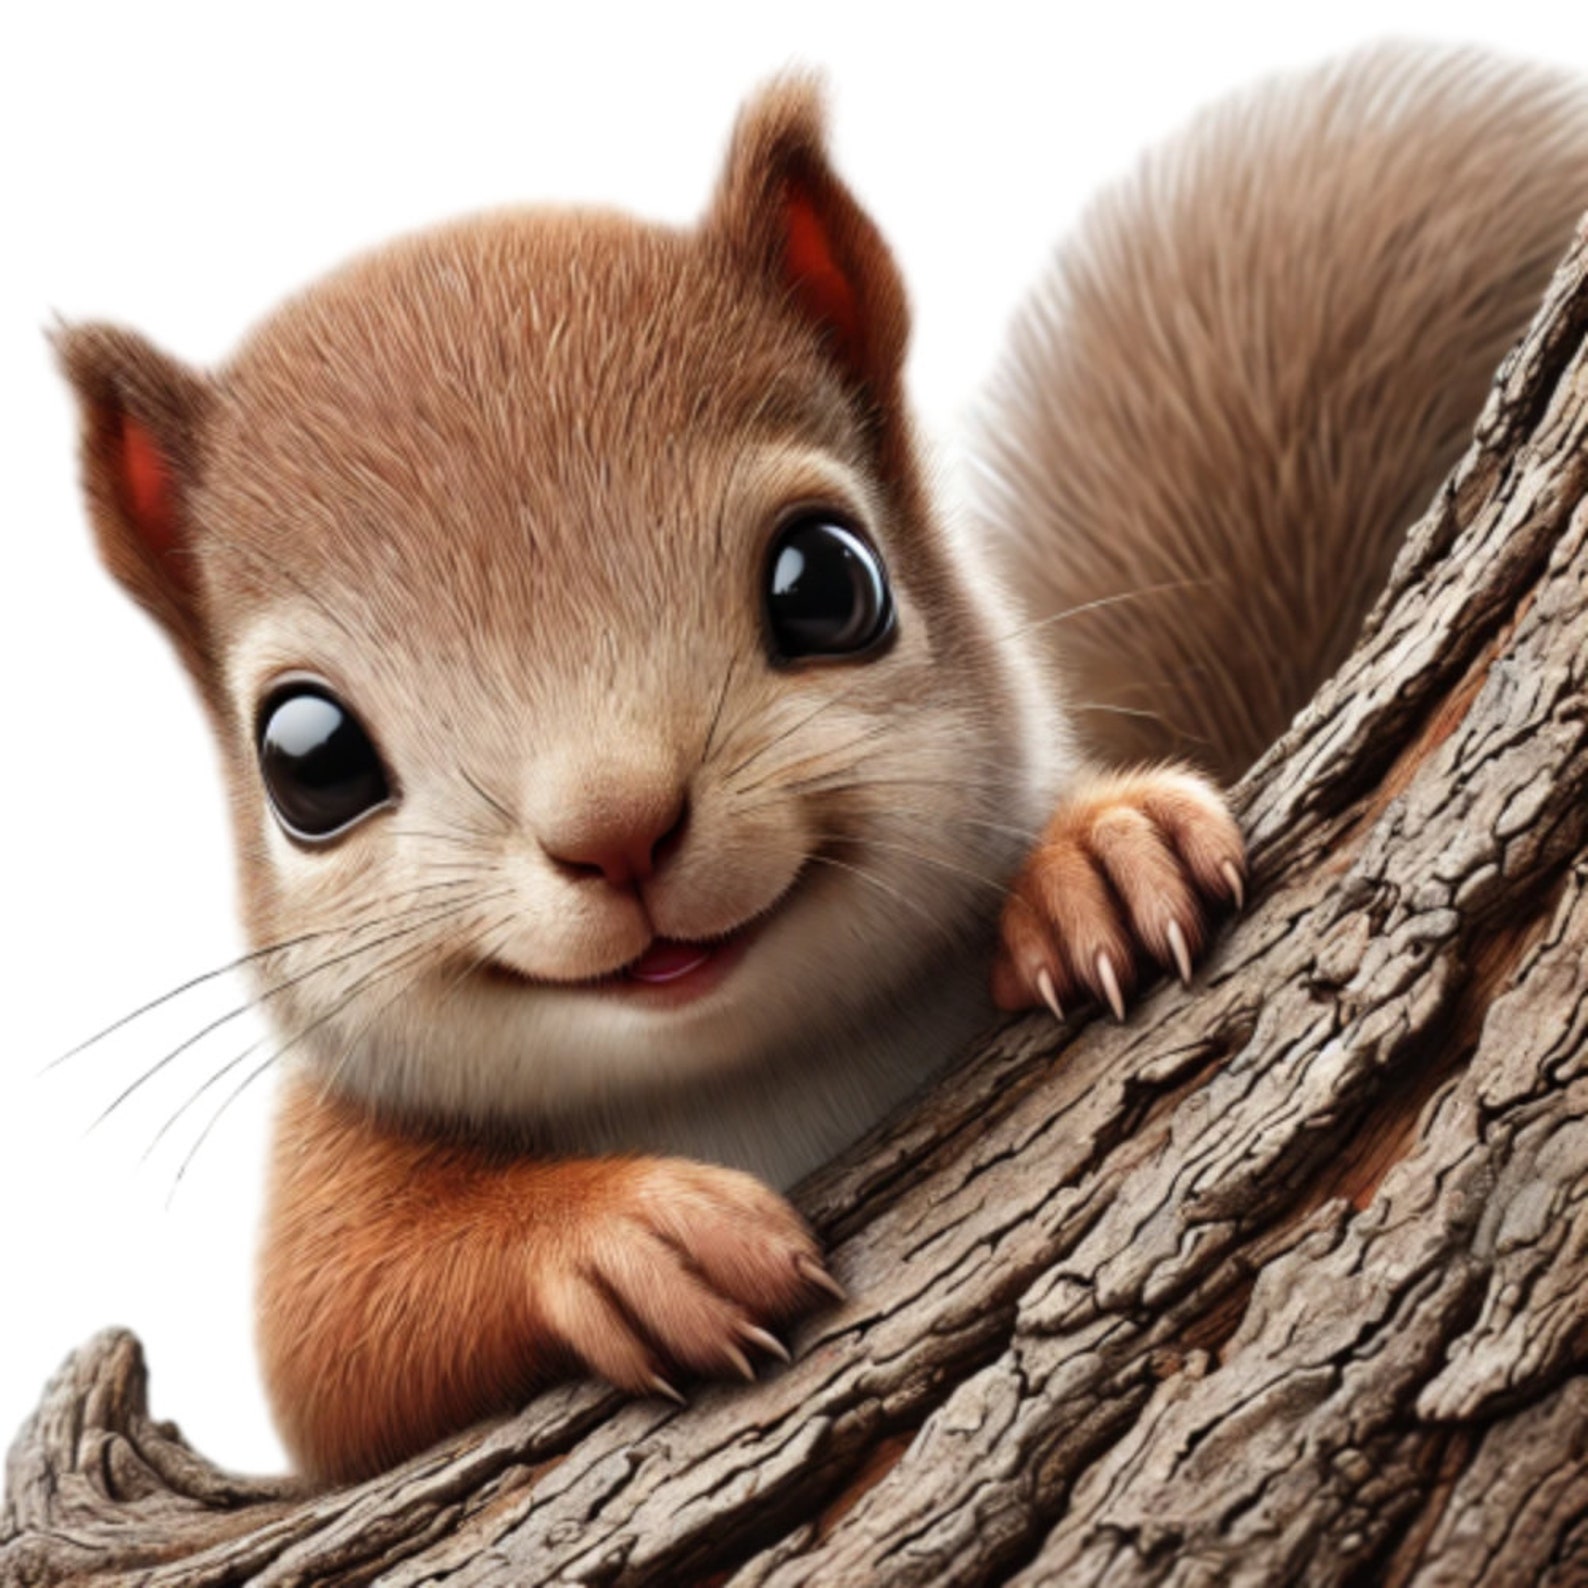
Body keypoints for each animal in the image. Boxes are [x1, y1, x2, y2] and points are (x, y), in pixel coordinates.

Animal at [53, 42, 1588, 1486]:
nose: (618, 829)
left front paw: (1094, 857)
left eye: (828, 579)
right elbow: (336, 1333)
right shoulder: (332, 1179)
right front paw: (628, 1237)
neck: (751, 1057)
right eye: (305, 760)